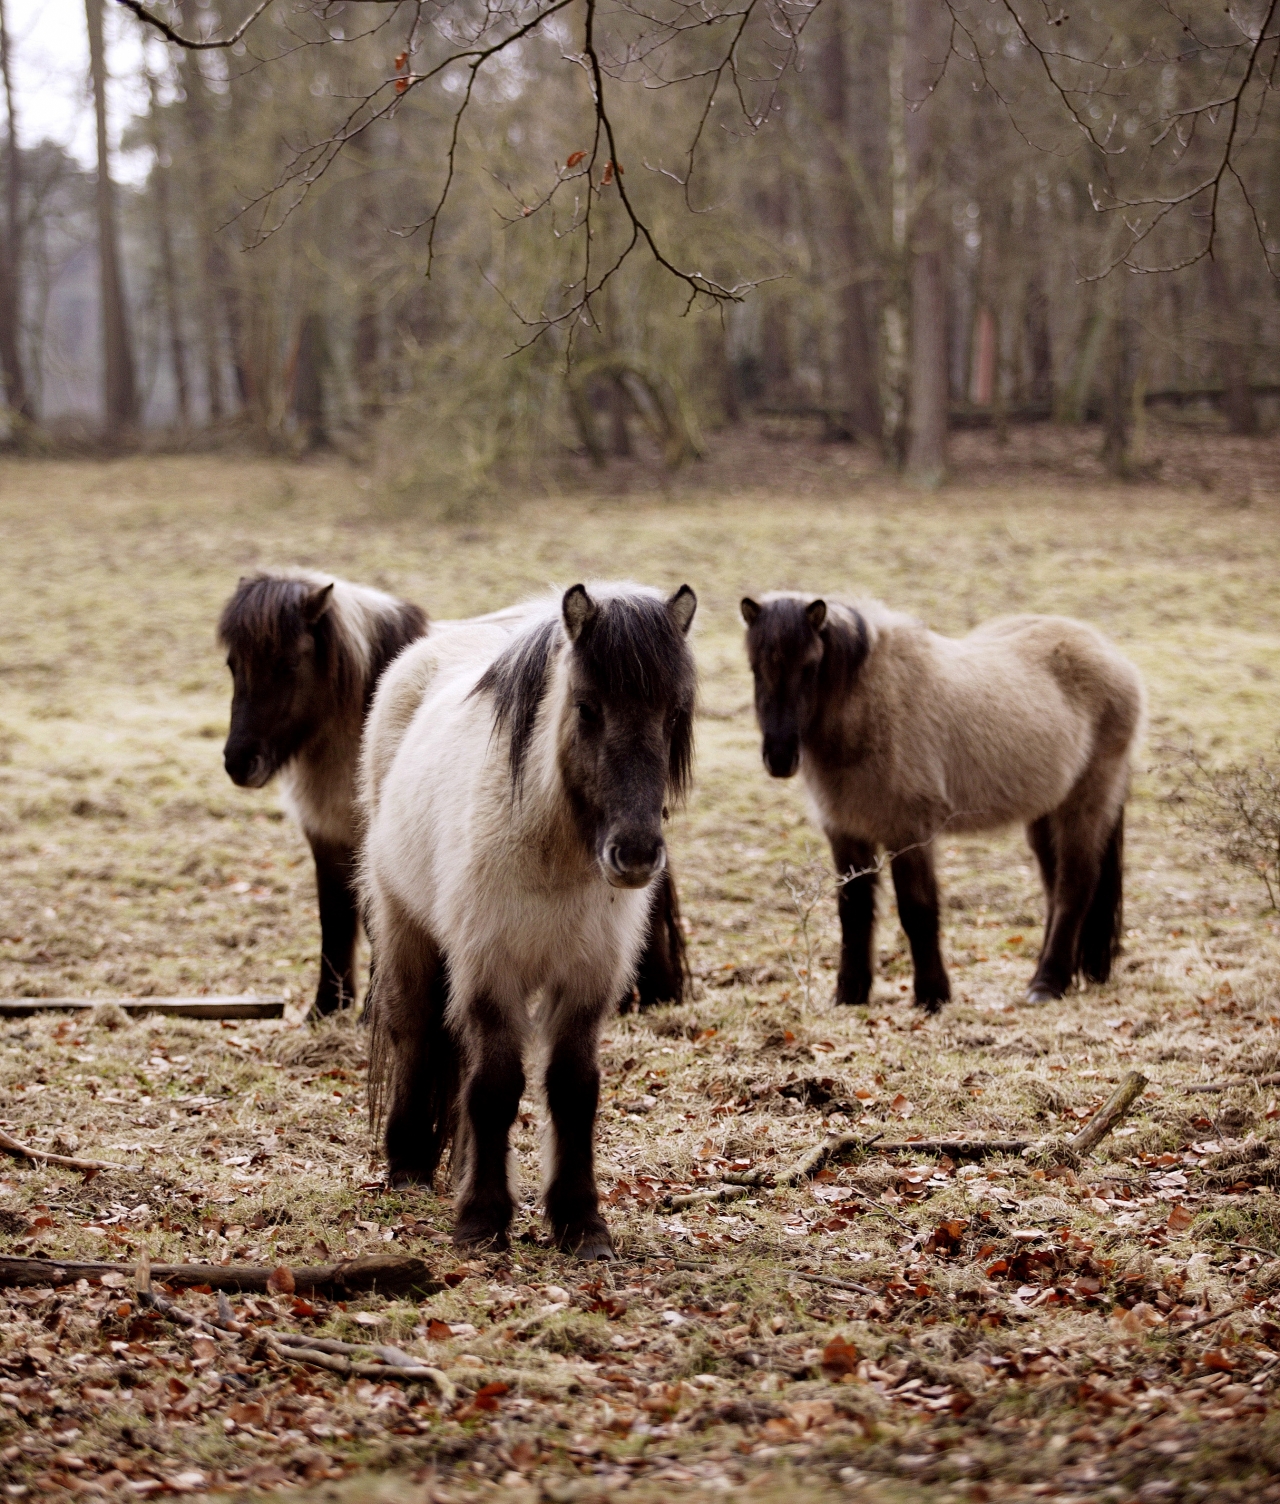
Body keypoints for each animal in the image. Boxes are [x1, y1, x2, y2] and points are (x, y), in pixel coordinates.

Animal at [218, 572, 690, 1019]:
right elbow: (334, 919)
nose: (238, 762)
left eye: (287, 665)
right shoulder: (330, 839)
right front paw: (325, 1010)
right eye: (233, 665)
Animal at [359, 581, 697, 1255]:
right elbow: (494, 1087)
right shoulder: (492, 971)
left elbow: (573, 1088)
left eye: (674, 714)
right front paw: (483, 1219)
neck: (553, 852)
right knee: (415, 1031)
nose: (636, 853)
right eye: (588, 708)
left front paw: (579, 1220)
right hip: (405, 926)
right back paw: (407, 1161)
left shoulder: (588, 979)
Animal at [740, 593, 1144, 1010]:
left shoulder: (909, 832)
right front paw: (850, 994)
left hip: (1085, 804)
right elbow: (853, 911)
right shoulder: (846, 833)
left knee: (1074, 887)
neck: (873, 702)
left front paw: (932, 996)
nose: (780, 757)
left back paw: (1046, 984)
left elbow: (917, 909)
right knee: (1054, 887)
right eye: (756, 668)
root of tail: (1108, 653)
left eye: (810, 667)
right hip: (1045, 812)